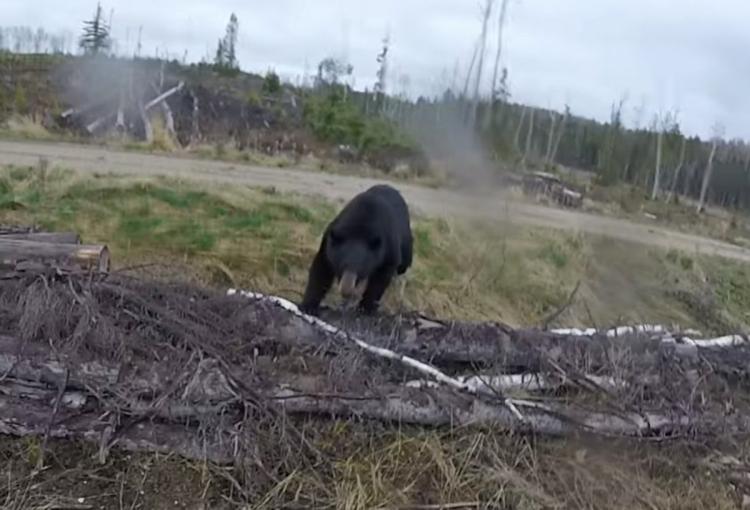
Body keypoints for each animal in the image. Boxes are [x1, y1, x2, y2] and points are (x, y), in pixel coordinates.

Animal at [299, 184, 413, 315]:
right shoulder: (329, 240)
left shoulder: (389, 246)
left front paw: (366, 307)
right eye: (342, 265)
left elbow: (381, 278)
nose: (346, 291)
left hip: (406, 239)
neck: (359, 230)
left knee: (404, 264)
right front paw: (308, 306)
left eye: (361, 269)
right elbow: (322, 267)